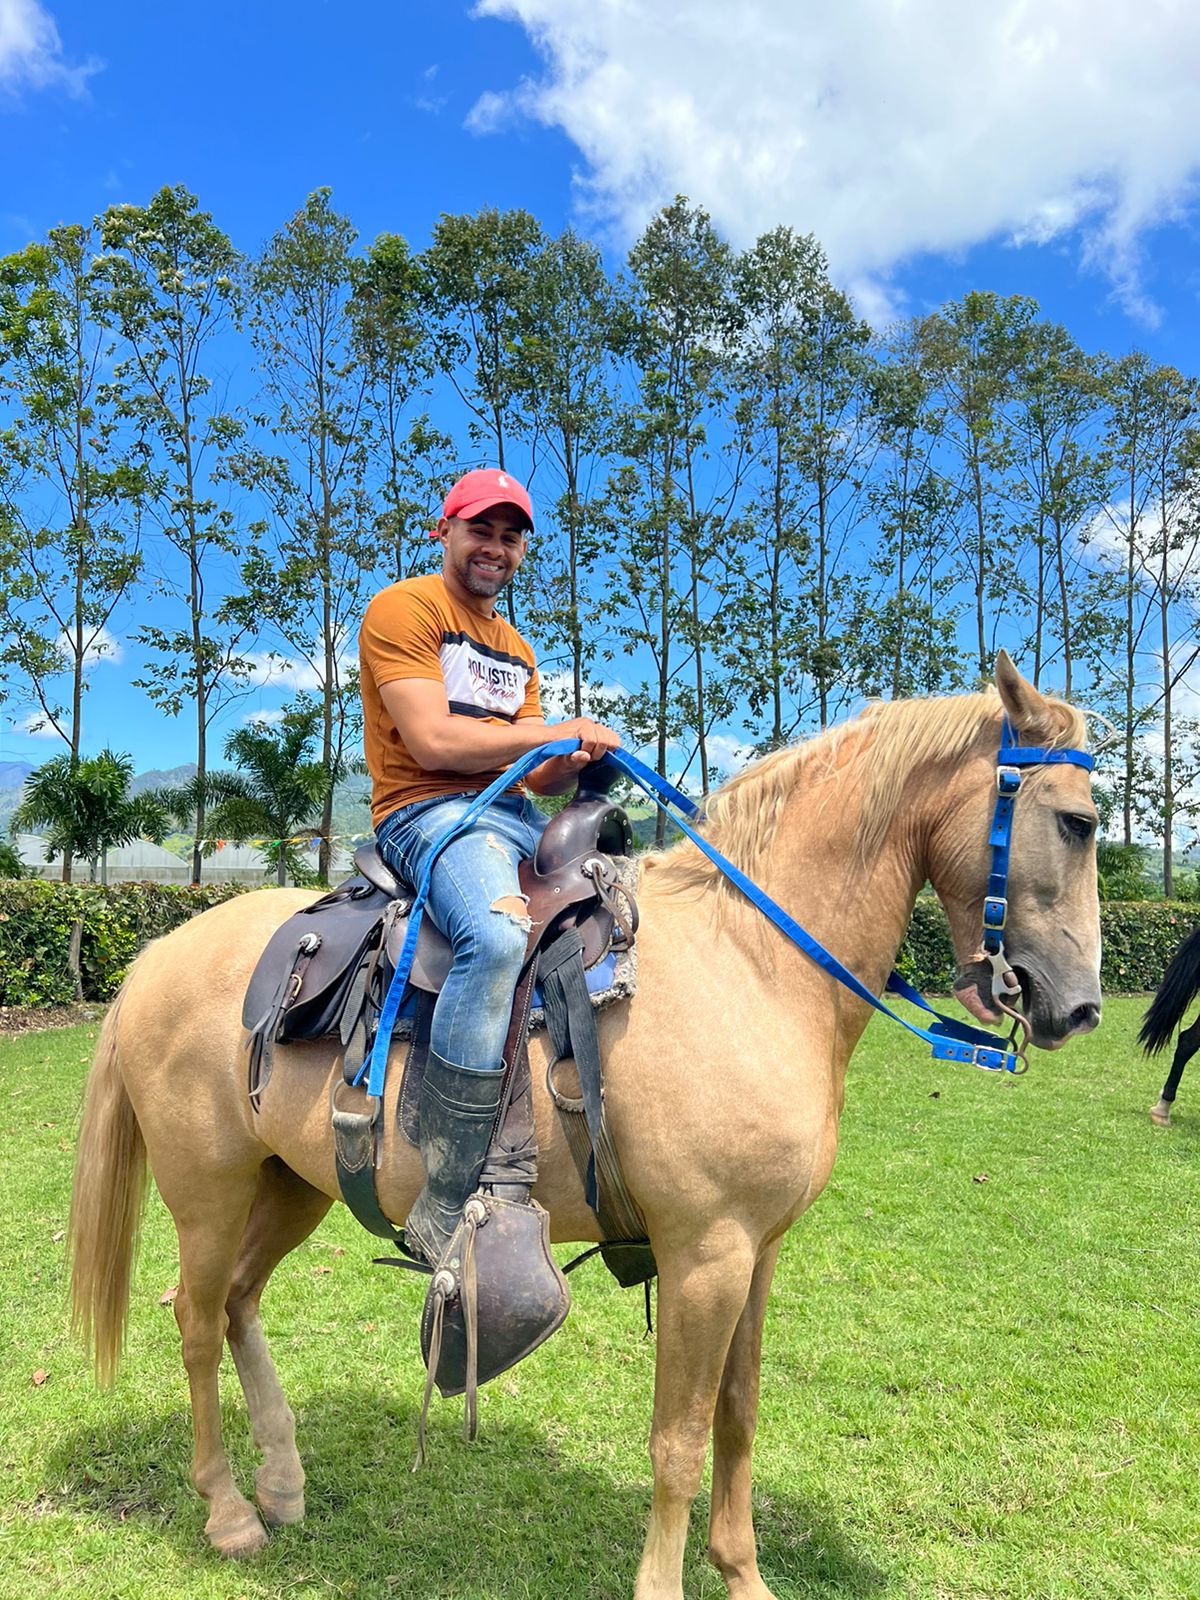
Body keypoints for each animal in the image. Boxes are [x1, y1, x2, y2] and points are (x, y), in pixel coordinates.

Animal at [69, 654, 1101, 1600]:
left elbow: (738, 1413)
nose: (1079, 1007)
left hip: (291, 1185)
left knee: (237, 1305)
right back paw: (229, 1511)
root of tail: (159, 952)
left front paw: (744, 1575)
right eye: (1078, 822)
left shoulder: (758, 1249)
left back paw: (282, 1483)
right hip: (206, 1189)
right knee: (195, 1315)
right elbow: (677, 1439)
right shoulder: (705, 1252)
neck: (752, 959)